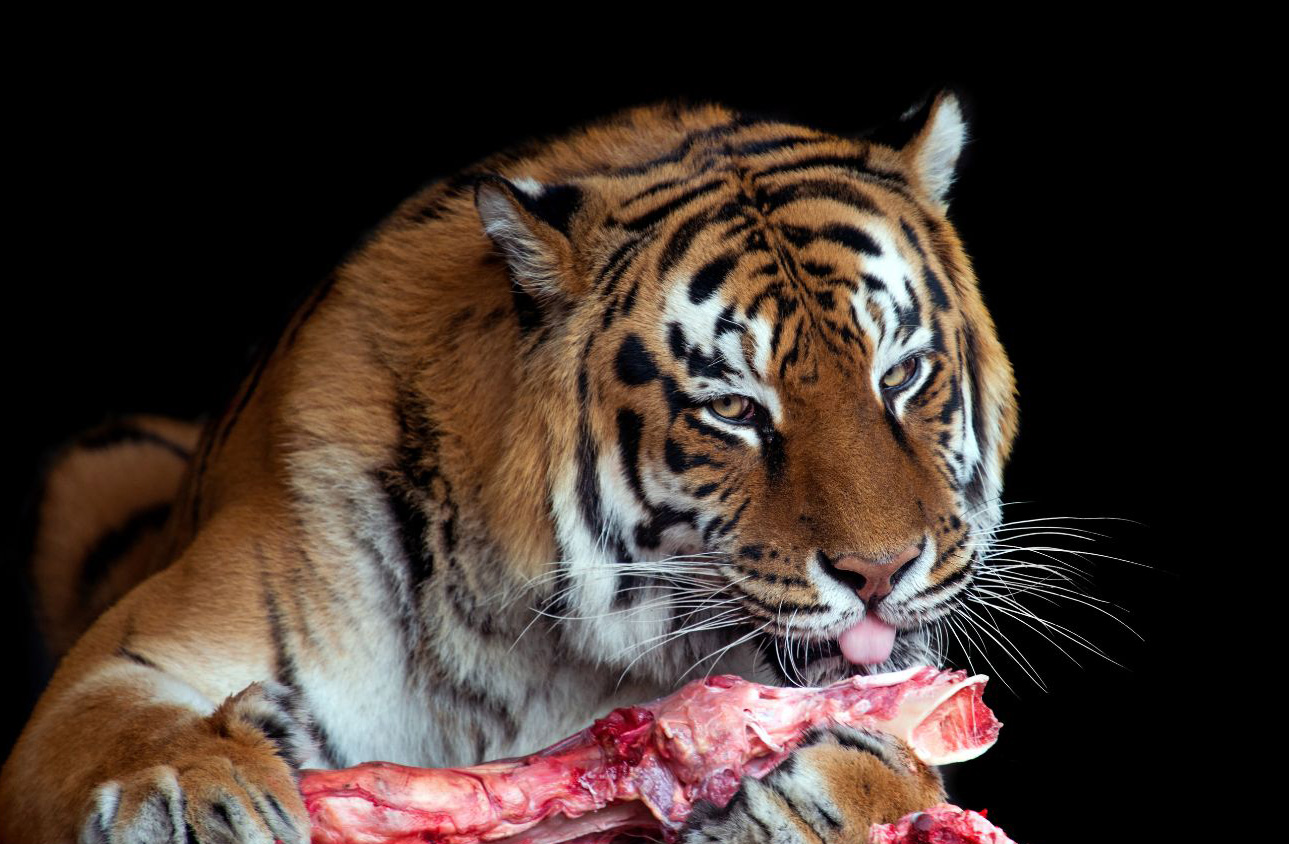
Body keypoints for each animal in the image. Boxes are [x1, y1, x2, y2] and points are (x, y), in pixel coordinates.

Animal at [1, 91, 1017, 843]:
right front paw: (191, 791)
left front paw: (829, 792)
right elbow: (120, 730)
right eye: (732, 408)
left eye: (900, 374)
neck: (551, 659)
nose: (879, 573)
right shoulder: (126, 656)